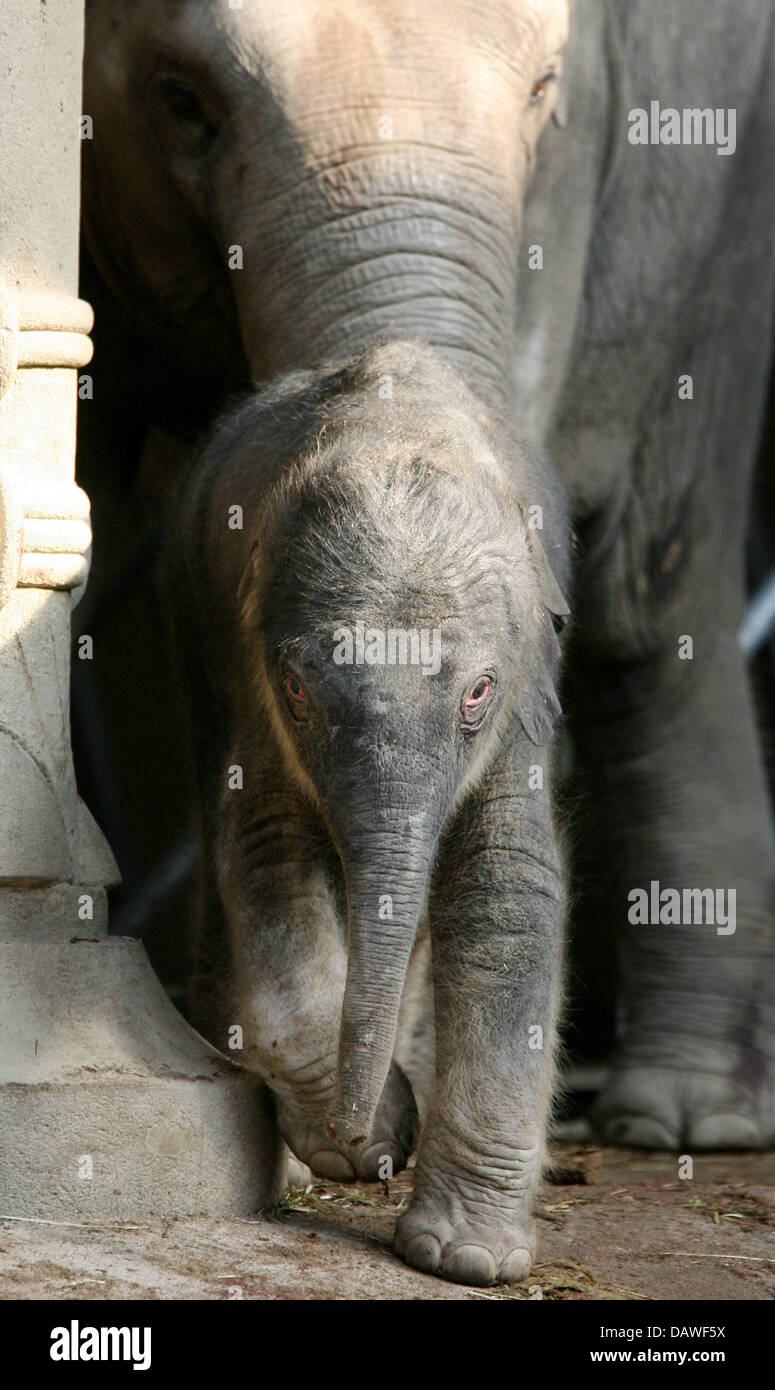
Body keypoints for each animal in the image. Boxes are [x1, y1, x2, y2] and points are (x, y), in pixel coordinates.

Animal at [80, 0, 775, 1285]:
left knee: (654, 594)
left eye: (548, 93)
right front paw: (332, 1129)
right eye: (180, 99)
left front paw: (432, 1222)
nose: (373, 1137)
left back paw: (685, 1120)